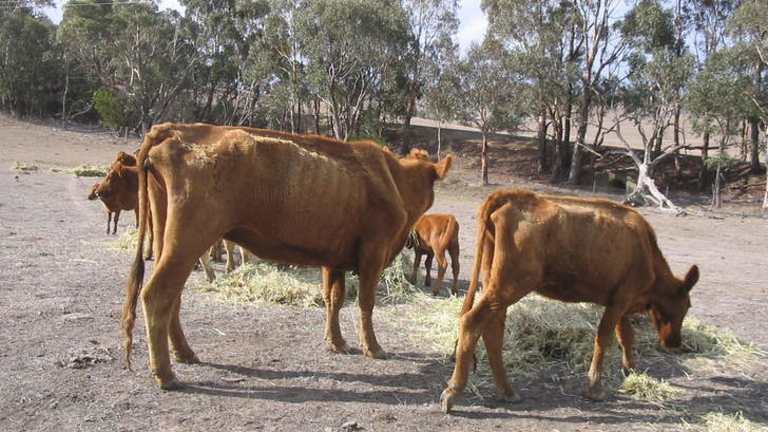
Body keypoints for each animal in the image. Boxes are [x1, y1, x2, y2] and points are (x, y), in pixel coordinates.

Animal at [121, 123, 452, 390]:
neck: (392, 178)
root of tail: (179, 129)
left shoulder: (334, 257)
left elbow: (334, 299)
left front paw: (337, 343)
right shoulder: (374, 252)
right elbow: (365, 303)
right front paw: (373, 348)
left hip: (169, 239)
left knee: (172, 297)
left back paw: (186, 354)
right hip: (188, 241)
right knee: (157, 294)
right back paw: (166, 375)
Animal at [440, 189, 699, 413]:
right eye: (685, 306)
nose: (675, 343)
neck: (647, 253)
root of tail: (513, 195)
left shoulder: (620, 300)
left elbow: (625, 335)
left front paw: (631, 368)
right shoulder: (621, 299)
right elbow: (604, 338)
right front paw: (594, 387)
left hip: (495, 283)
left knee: (492, 329)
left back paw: (507, 391)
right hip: (510, 284)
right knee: (472, 321)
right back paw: (453, 392)